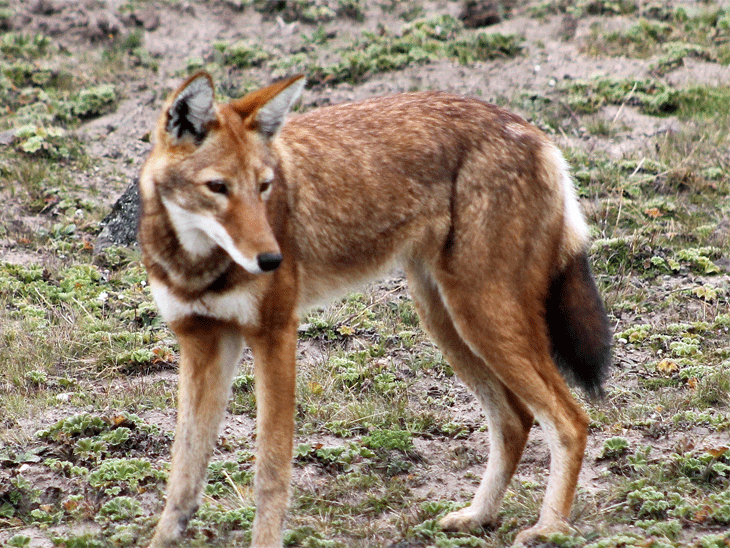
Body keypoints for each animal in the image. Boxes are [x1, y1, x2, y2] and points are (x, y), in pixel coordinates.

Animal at [138, 72, 611, 547]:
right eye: (218, 188)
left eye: (264, 186)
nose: (272, 260)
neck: (197, 264)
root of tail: (535, 133)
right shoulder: (202, 343)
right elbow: (182, 476)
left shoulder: (275, 335)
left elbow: (269, 474)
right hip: (447, 323)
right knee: (515, 422)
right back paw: (479, 516)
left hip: (482, 320)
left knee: (571, 421)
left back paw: (550, 529)